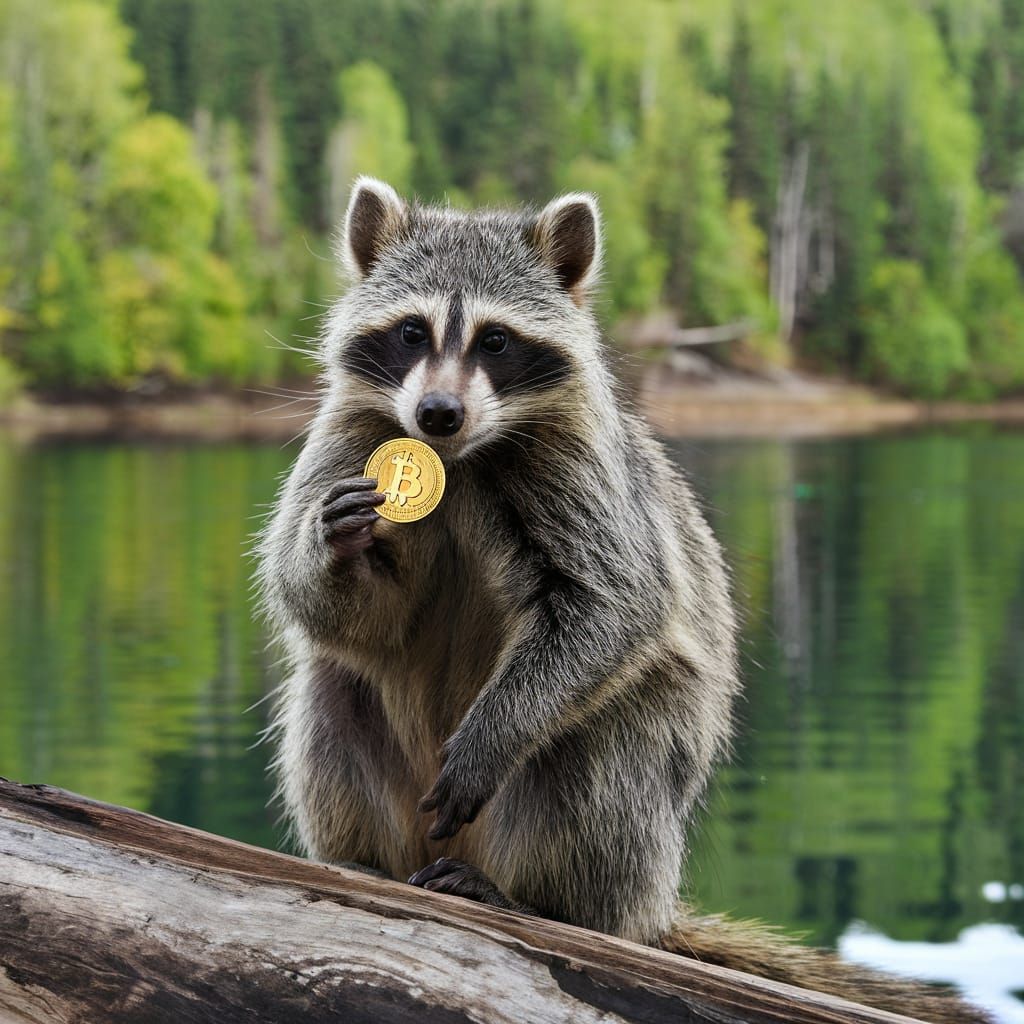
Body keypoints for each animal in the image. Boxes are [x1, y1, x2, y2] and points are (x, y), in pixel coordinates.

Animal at [258, 178, 991, 1023]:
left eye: (495, 341)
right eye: (413, 332)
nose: (438, 413)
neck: (462, 457)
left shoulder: (588, 477)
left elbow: (616, 606)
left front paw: (489, 739)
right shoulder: (349, 441)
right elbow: (337, 608)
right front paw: (333, 547)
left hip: (631, 793)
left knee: (606, 750)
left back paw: (542, 900)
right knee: (332, 693)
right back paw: (362, 860)